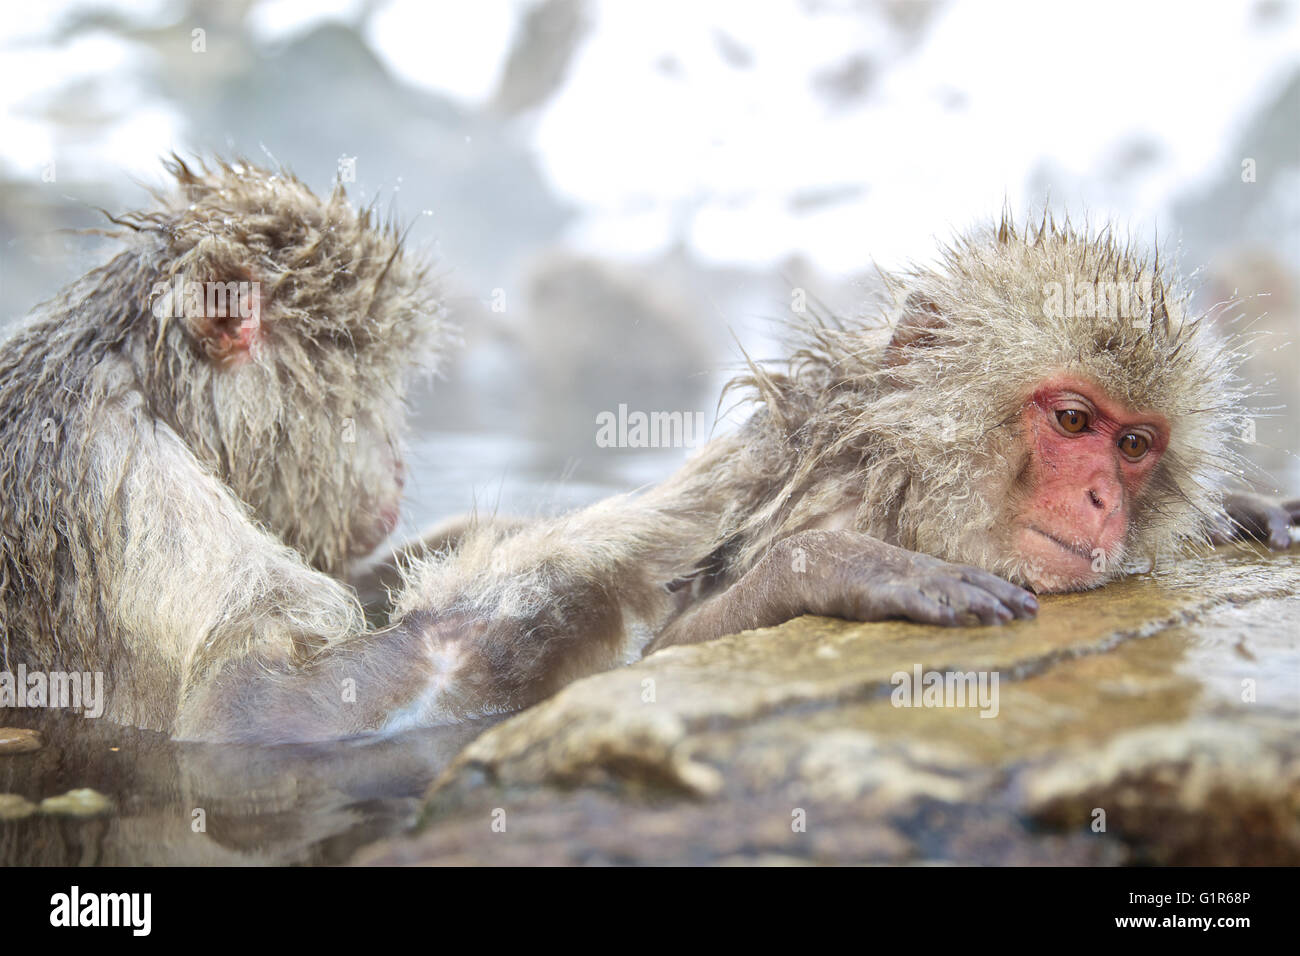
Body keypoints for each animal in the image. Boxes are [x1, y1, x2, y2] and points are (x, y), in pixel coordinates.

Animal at [387, 213, 1299, 722]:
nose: (1104, 496)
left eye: (1135, 445)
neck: (892, 474)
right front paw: (834, 567)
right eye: (1075, 421)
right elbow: (648, 657)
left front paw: (1237, 509)